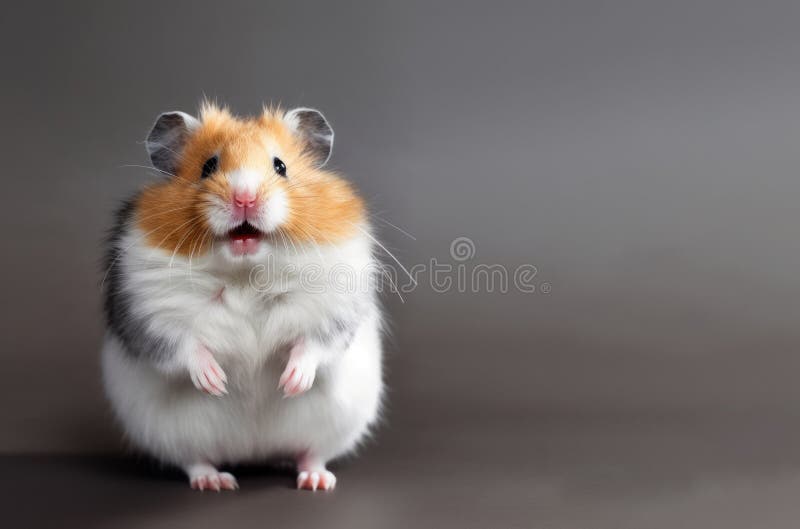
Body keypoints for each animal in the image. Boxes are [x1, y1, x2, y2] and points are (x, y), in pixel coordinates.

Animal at [101, 103, 384, 491]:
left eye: (280, 166)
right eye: (208, 166)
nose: (245, 198)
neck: (246, 272)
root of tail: (255, 453)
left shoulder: (336, 307)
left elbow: (313, 344)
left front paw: (291, 383)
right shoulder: (145, 312)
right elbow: (183, 345)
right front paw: (215, 383)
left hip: (336, 424)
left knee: (311, 453)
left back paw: (316, 480)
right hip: (168, 434)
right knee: (194, 461)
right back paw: (216, 482)